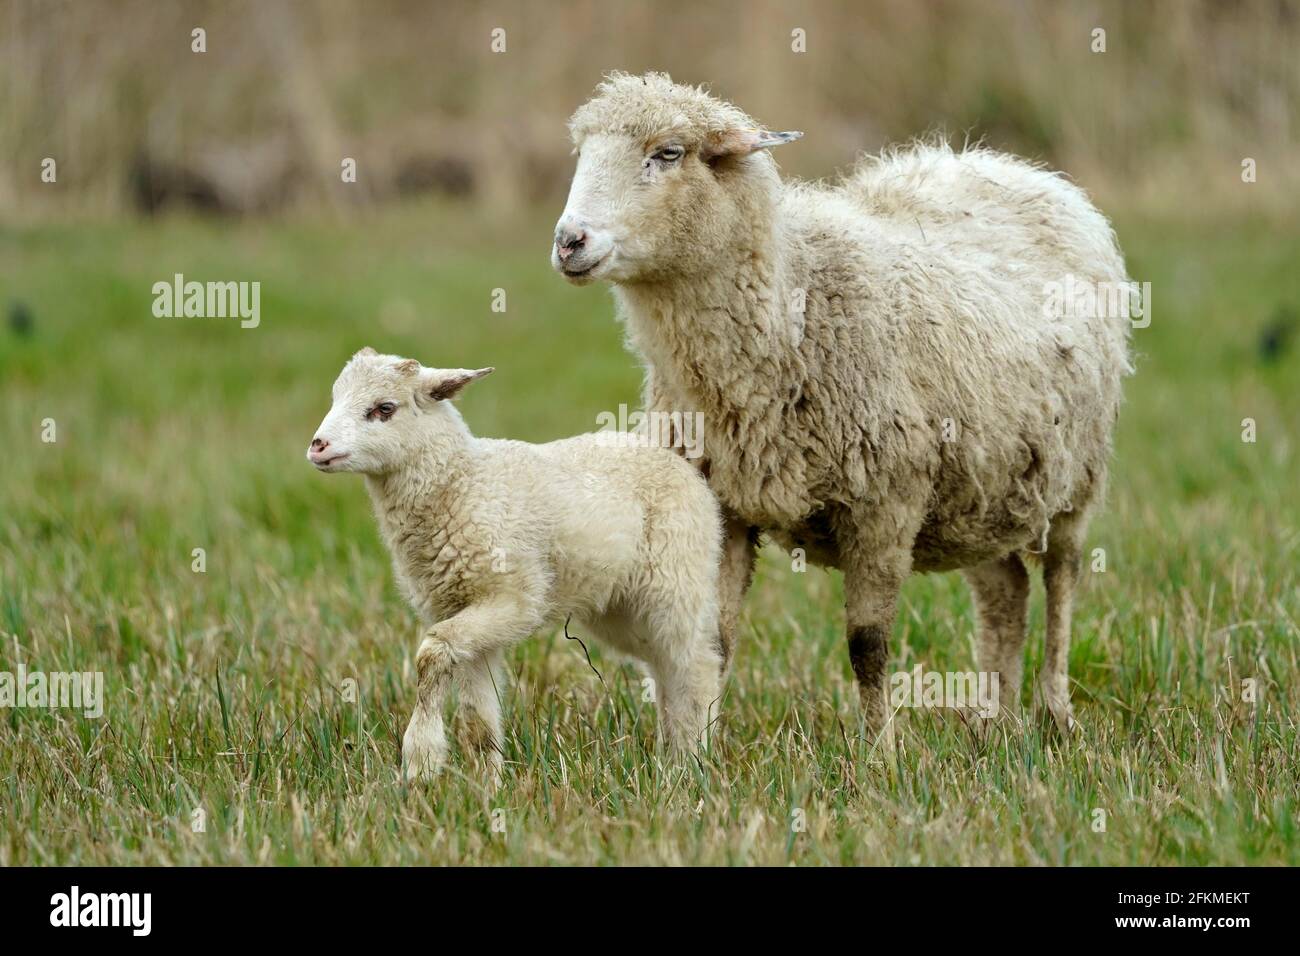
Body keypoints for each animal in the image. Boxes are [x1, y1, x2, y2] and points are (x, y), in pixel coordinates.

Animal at [306, 347, 724, 781]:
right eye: (336, 396)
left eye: (384, 408)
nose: (318, 446)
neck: (462, 483)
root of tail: (681, 465)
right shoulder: (462, 608)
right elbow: (477, 711)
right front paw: (486, 781)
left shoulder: (514, 597)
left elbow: (431, 654)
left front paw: (421, 760)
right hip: (621, 606)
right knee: (663, 667)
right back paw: (674, 756)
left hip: (676, 580)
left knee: (696, 664)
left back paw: (694, 761)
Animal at [551, 72, 1133, 746]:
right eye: (582, 153)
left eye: (668, 153)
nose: (568, 241)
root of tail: (1012, 166)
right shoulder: (724, 503)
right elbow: (715, 639)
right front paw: (705, 747)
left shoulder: (887, 503)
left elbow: (868, 646)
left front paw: (880, 751)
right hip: (981, 490)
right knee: (1005, 591)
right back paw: (996, 720)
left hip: (1075, 475)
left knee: (1062, 579)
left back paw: (1054, 709)